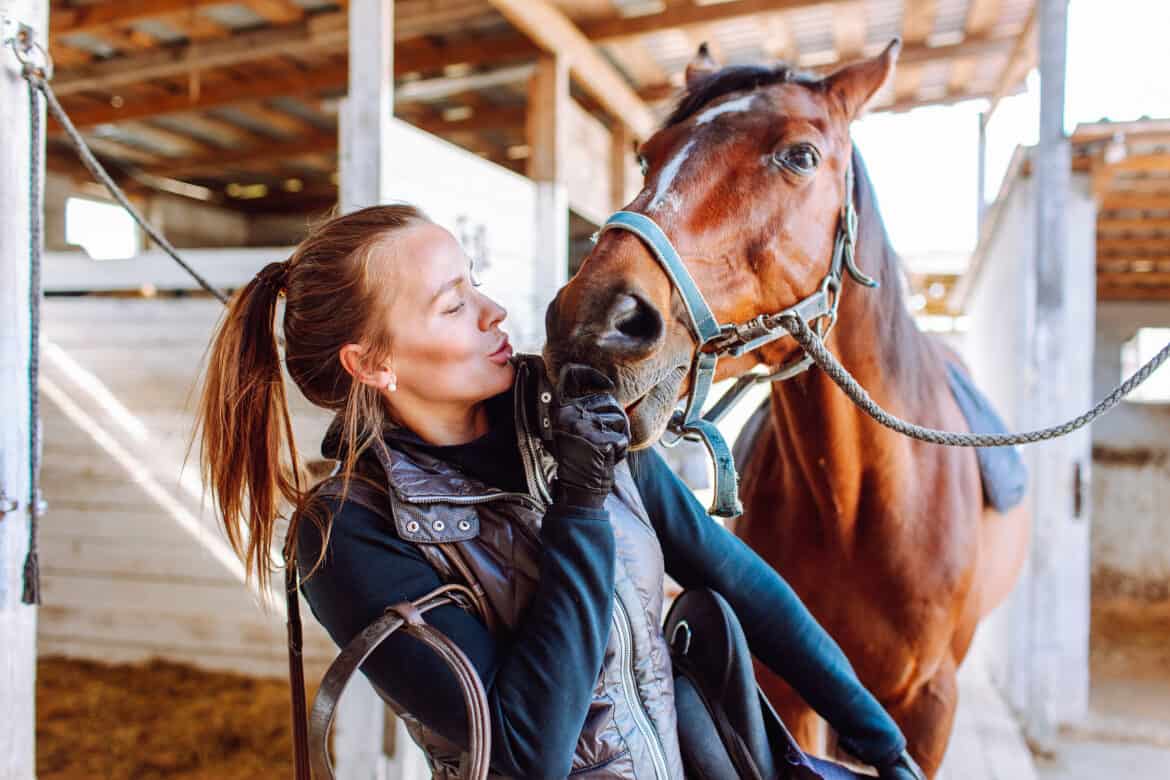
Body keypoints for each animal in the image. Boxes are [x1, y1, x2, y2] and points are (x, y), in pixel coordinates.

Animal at [543, 42, 1032, 776]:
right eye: (648, 157)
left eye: (800, 156)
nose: (593, 320)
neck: (855, 511)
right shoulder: (791, 694)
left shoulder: (930, 708)